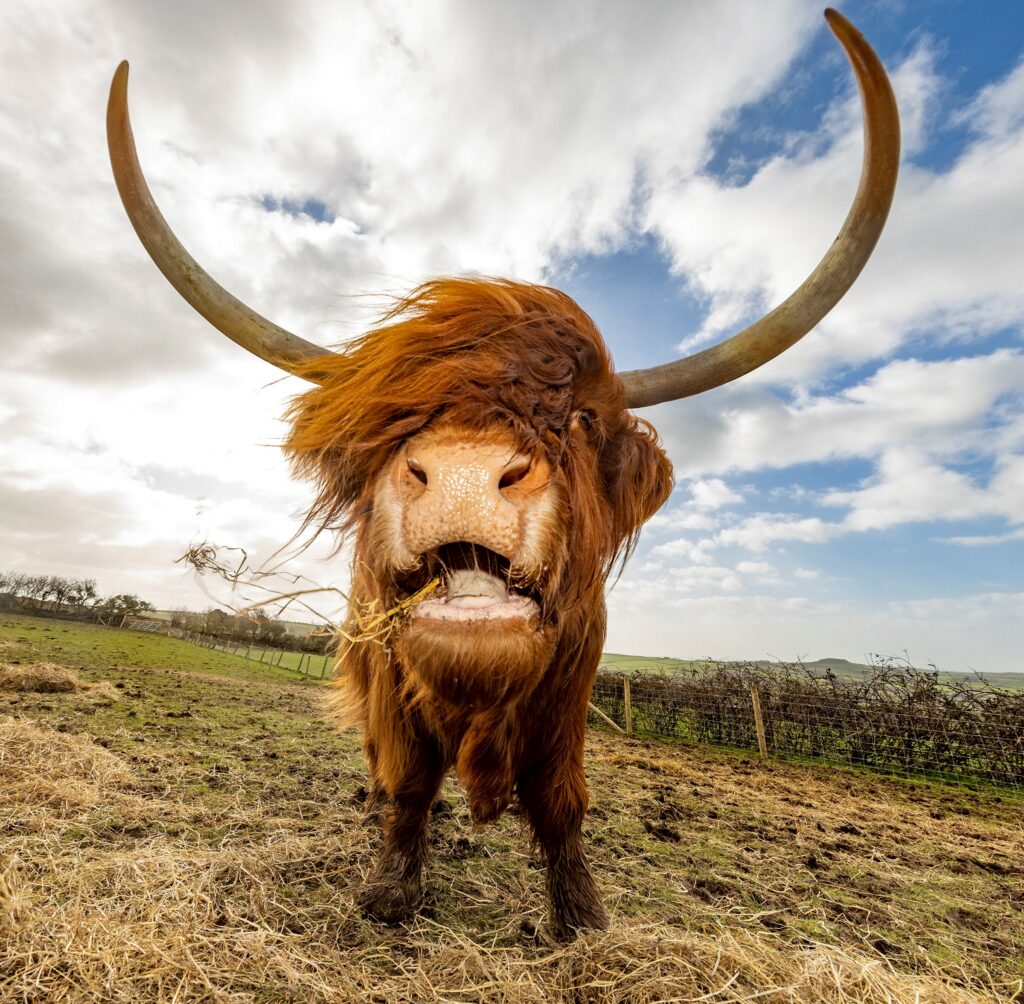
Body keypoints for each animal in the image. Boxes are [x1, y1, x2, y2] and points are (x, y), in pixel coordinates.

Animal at [106, 9, 899, 940]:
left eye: (581, 420)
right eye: (391, 428)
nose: (462, 473)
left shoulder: (572, 695)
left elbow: (560, 801)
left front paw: (580, 914)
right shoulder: (395, 692)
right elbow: (409, 783)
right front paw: (390, 892)